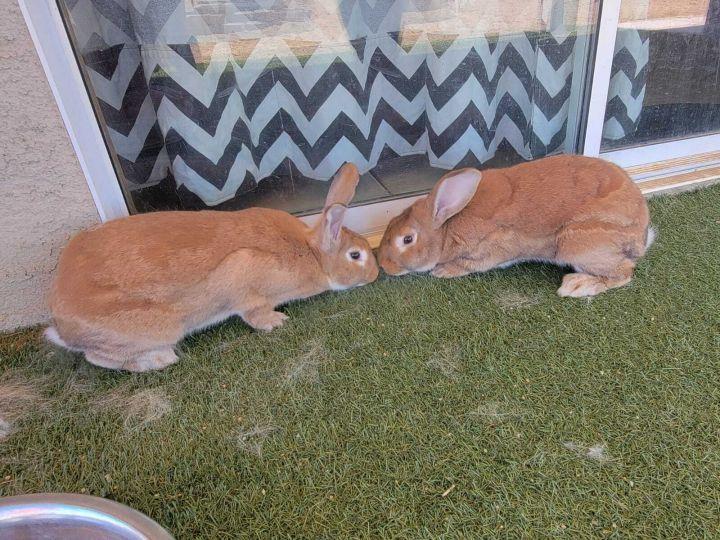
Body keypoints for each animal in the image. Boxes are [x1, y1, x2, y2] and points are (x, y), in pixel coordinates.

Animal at [45, 163, 379, 372]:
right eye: (356, 255)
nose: (375, 274)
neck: (312, 252)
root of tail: (61, 322)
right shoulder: (247, 279)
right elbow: (254, 311)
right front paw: (276, 321)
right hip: (157, 328)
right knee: (97, 358)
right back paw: (159, 360)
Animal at [377, 155, 654, 297]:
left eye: (407, 239)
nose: (384, 265)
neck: (447, 226)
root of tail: (641, 236)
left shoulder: (493, 248)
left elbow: (470, 264)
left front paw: (443, 271)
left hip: (575, 244)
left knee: (624, 272)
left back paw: (577, 286)